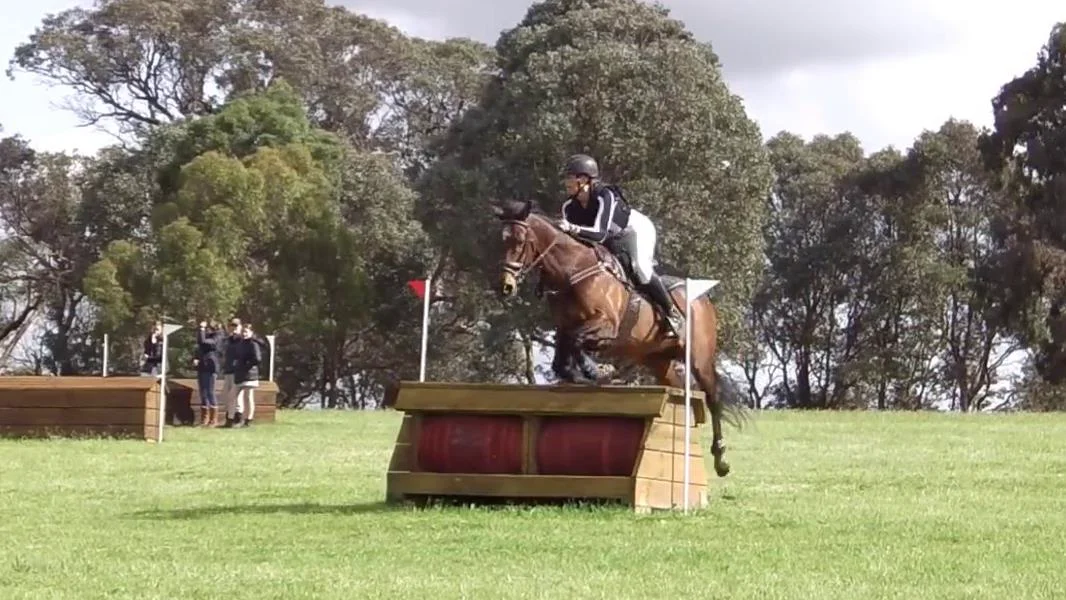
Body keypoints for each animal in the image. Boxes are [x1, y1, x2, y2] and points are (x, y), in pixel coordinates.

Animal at [491, 198, 747, 478]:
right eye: (502, 241)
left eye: (519, 241)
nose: (505, 287)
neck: (573, 269)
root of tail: (702, 299)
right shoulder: (566, 327)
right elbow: (563, 355)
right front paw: (584, 374)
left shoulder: (607, 327)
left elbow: (579, 343)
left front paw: (597, 371)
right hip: (659, 360)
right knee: (680, 390)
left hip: (699, 357)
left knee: (713, 398)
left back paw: (721, 459)